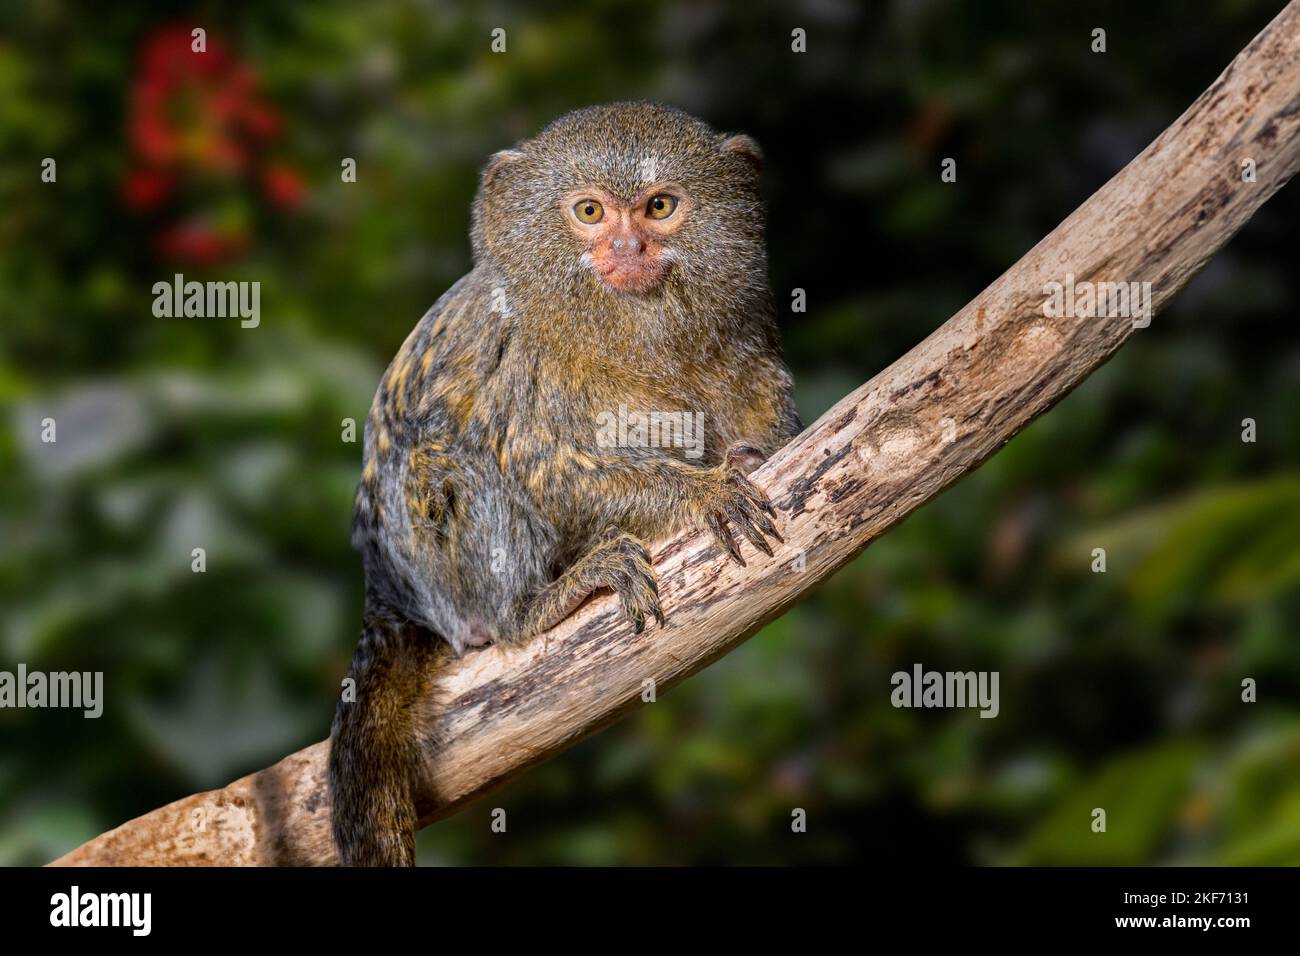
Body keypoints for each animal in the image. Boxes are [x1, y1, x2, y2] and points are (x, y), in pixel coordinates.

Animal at [329, 102, 802, 866]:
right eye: (589, 211)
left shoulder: (746, 330)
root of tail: (387, 594)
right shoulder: (527, 371)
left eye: (660, 207)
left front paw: (759, 455)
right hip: (438, 570)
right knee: (453, 467)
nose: (629, 247)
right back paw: (537, 604)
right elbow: (539, 466)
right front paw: (704, 494)